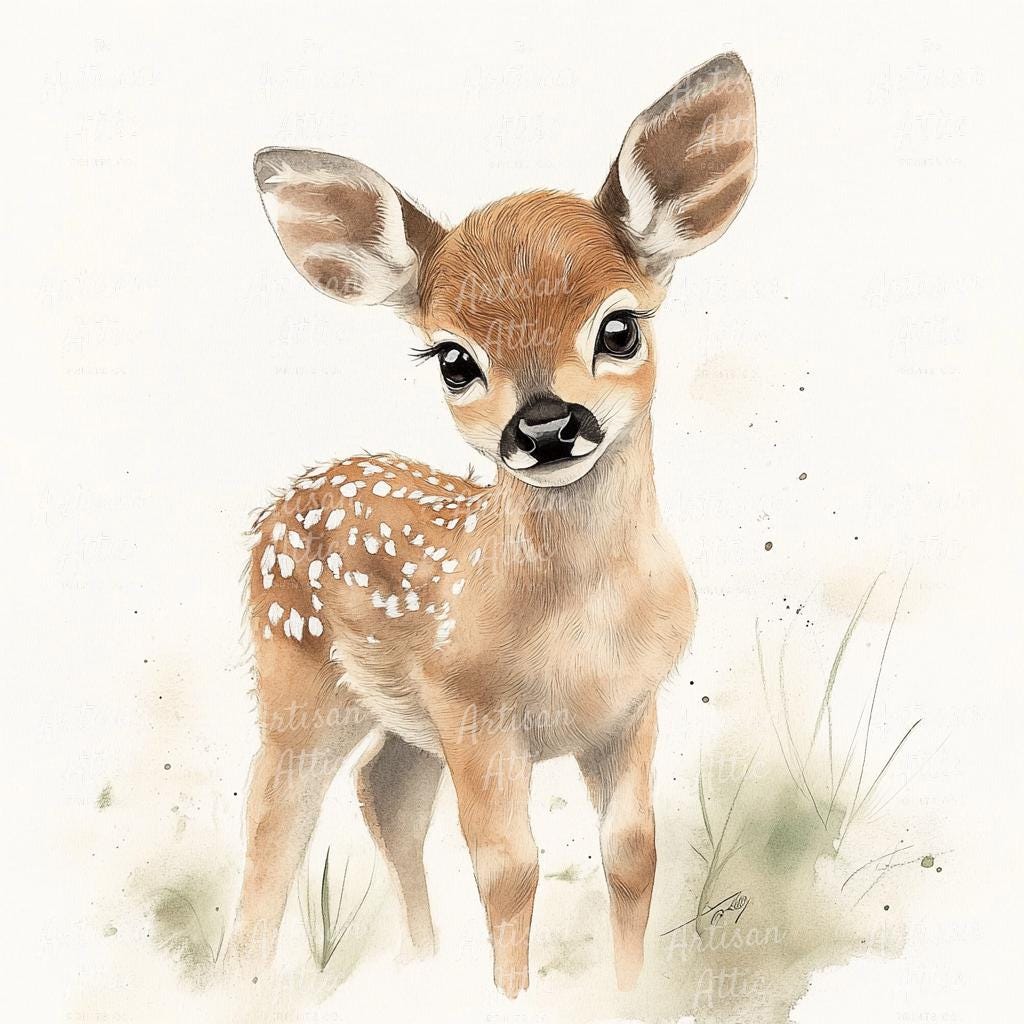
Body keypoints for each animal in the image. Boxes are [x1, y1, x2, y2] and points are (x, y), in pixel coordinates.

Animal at [227, 53, 756, 997]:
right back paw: (246, 981)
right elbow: (509, 872)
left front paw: (627, 993)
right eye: (454, 359)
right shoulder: (474, 711)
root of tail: (289, 496)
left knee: (384, 795)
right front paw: (513, 995)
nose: (545, 427)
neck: (579, 629)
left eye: (620, 327)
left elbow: (634, 856)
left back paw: (422, 961)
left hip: (406, 720)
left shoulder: (631, 708)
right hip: (296, 672)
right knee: (274, 819)